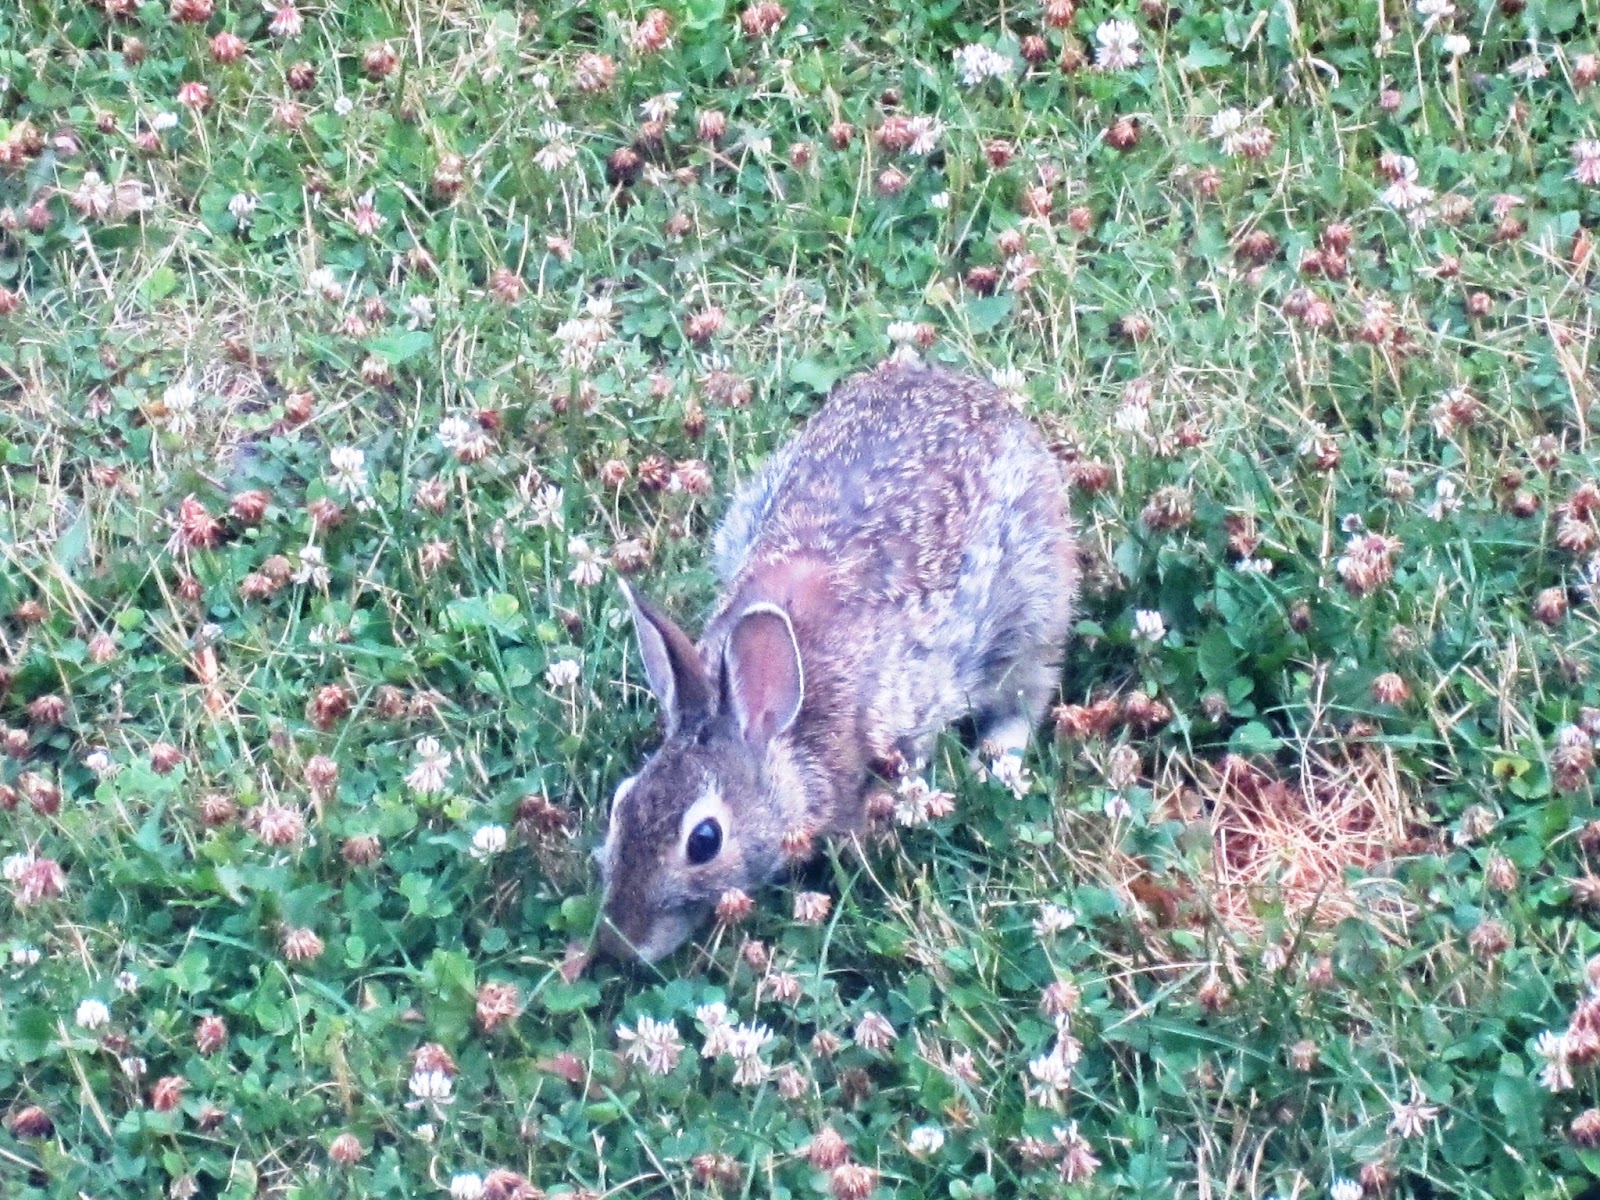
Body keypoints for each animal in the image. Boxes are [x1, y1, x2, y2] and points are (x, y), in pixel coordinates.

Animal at [596, 361, 1077, 962]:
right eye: (622, 803)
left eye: (704, 841)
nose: (620, 942)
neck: (784, 735)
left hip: (1032, 608)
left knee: (1029, 690)